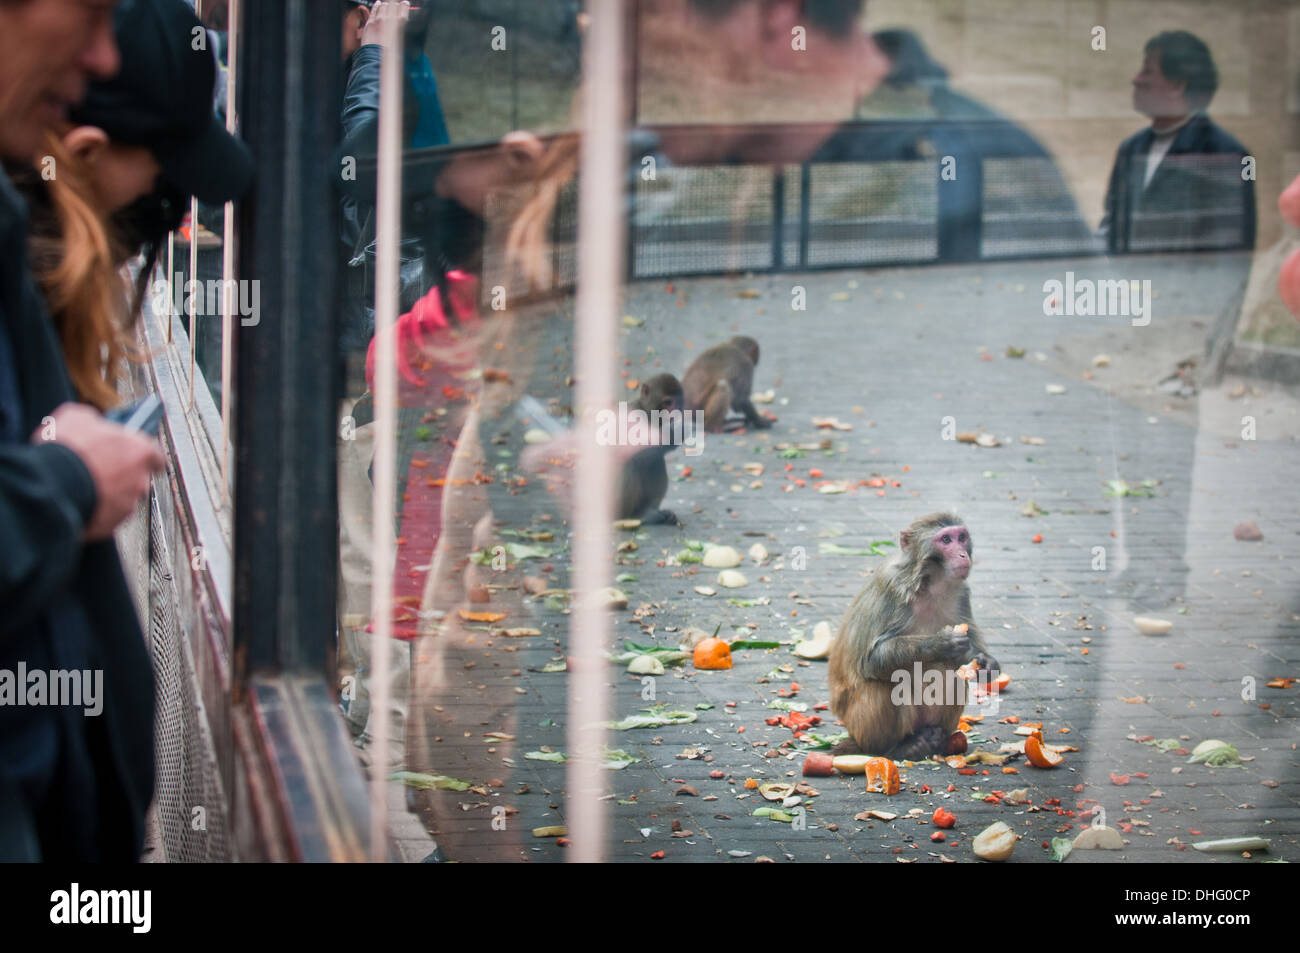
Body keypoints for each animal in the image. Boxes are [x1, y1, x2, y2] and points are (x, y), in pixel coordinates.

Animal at [616, 373, 684, 525]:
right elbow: (638, 454)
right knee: (631, 464)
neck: (647, 412)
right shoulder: (633, 417)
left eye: (677, 402)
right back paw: (630, 517)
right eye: (668, 402)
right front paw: (676, 433)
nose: (675, 413)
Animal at [827, 513, 1000, 760]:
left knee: (949, 671)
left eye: (961, 537)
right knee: (887, 682)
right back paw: (897, 748)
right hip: (858, 726)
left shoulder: (962, 592)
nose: (962, 554)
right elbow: (870, 659)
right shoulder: (891, 588)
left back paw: (933, 739)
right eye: (946, 540)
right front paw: (940, 643)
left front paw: (986, 663)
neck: (931, 585)